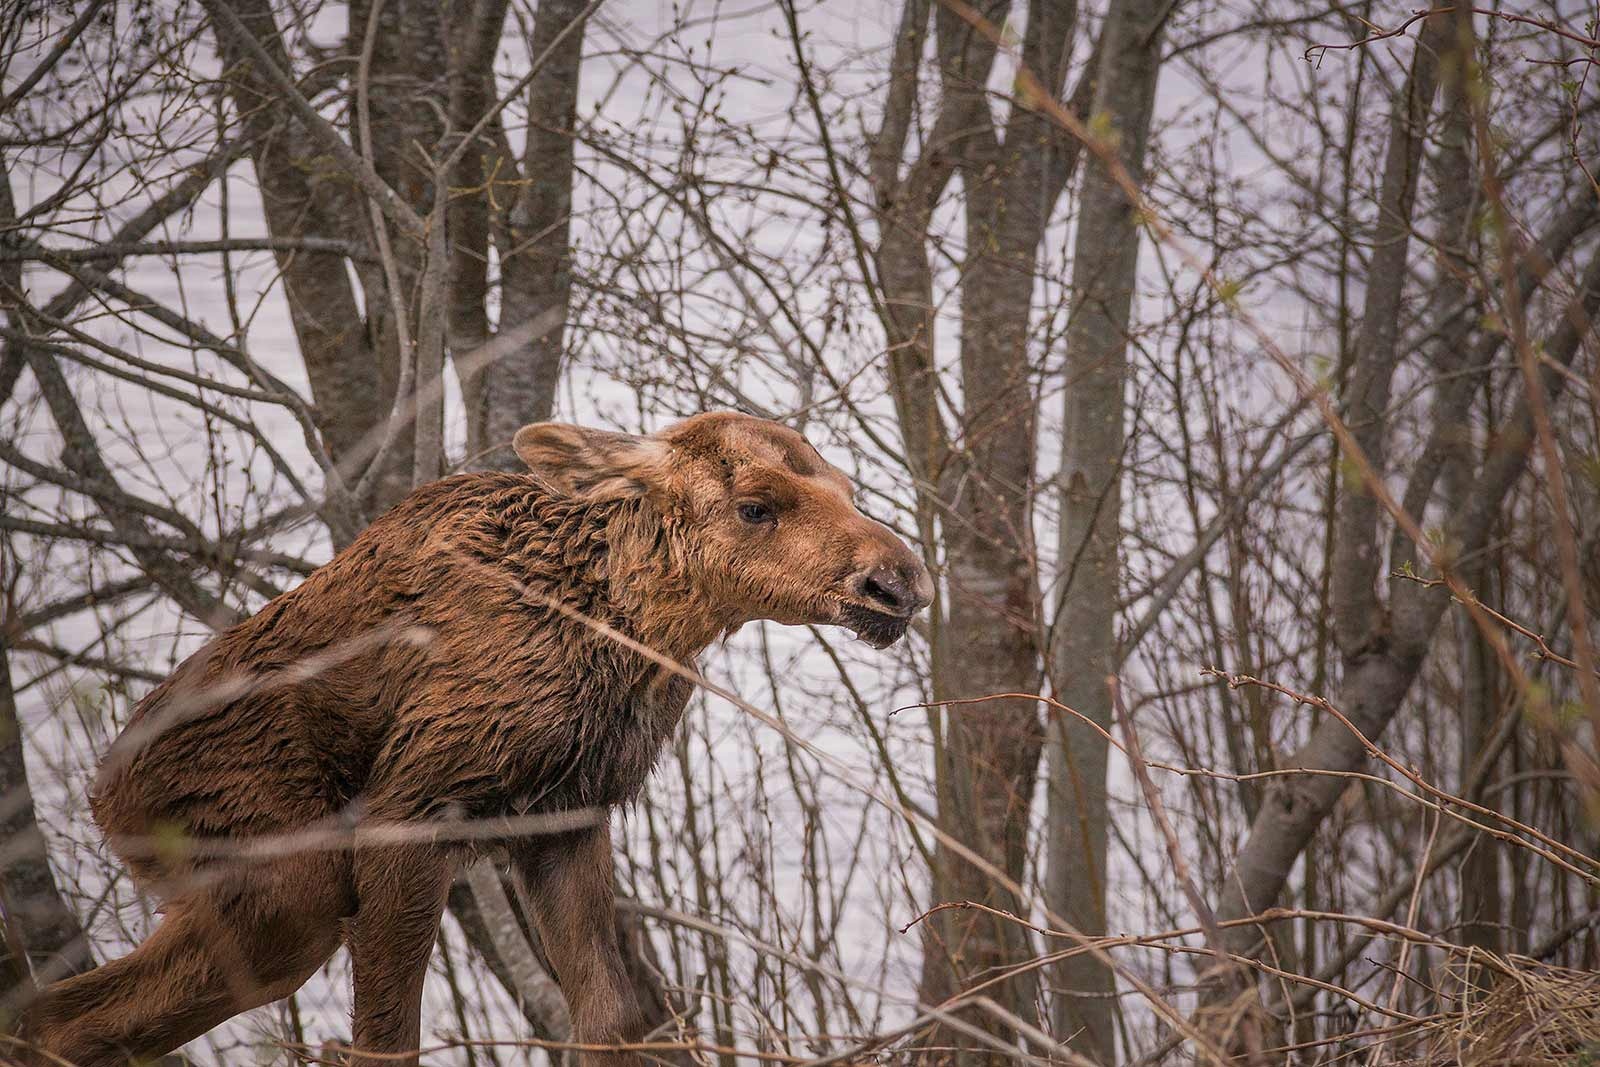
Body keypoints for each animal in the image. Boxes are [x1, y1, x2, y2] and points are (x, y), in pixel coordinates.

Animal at [21, 412, 928, 1062]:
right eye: (755, 506)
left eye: (846, 487)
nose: (899, 580)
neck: (617, 634)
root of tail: (102, 793)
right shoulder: (414, 811)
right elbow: (386, 1039)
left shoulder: (566, 819)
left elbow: (608, 1020)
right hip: (288, 883)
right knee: (65, 1015)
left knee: (62, 1017)